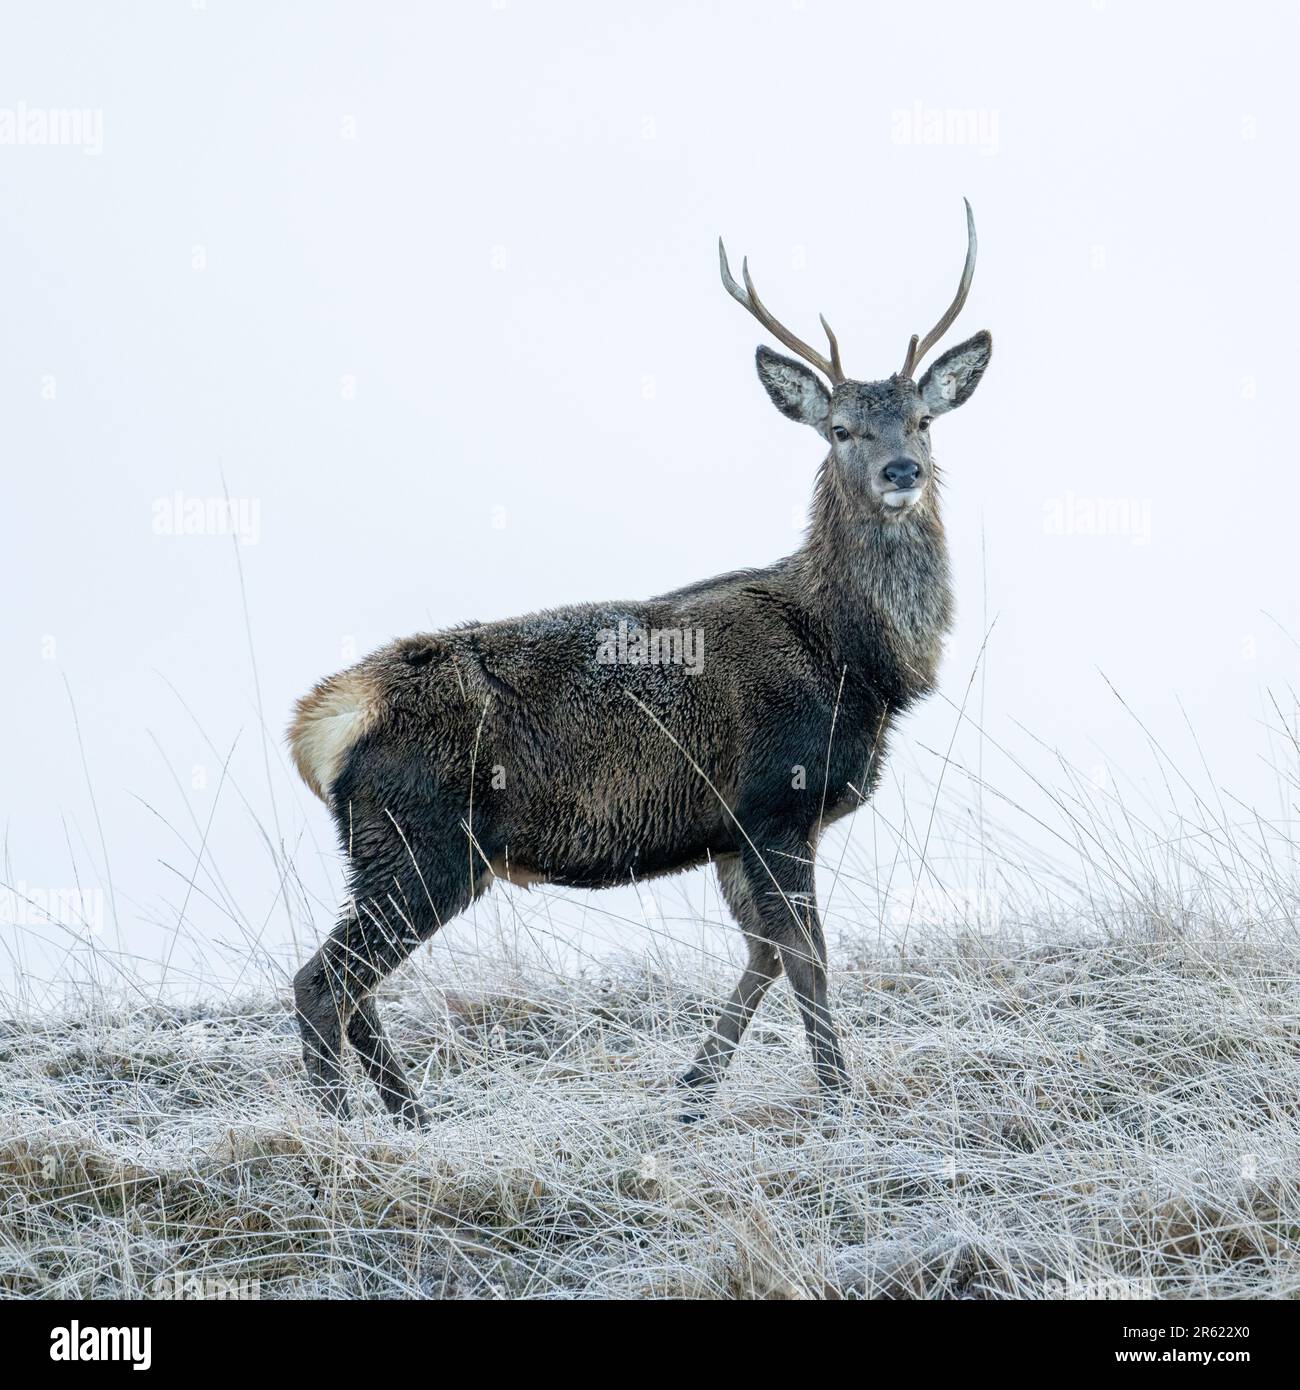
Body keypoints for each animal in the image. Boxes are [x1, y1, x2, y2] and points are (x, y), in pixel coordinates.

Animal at [289, 202, 991, 1127]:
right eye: (840, 429)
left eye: (923, 420)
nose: (901, 471)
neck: (858, 663)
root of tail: (323, 722)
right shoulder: (777, 802)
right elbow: (808, 960)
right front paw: (841, 1100)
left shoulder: (733, 830)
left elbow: (766, 957)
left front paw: (693, 1093)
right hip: (424, 838)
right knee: (323, 983)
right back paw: (349, 1131)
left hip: (386, 850)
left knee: (355, 988)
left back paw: (415, 1119)